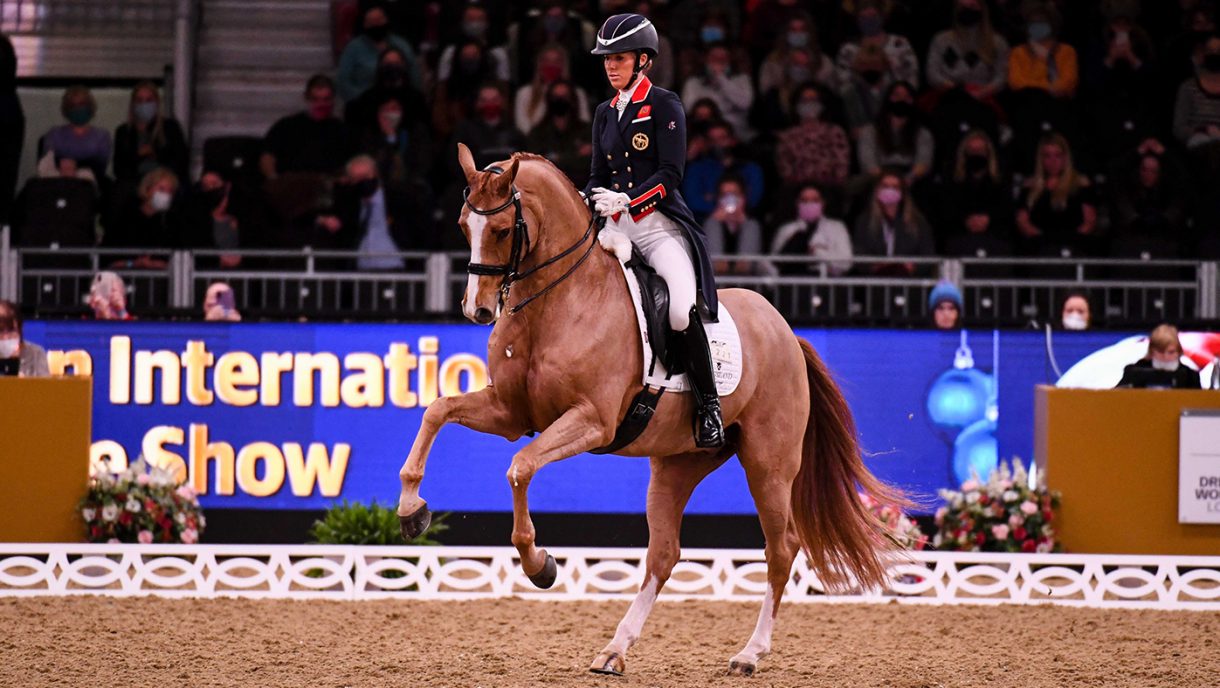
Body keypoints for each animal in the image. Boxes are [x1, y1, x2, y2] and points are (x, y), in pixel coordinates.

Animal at [397, 143, 902, 677]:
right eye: (461, 225)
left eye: (500, 230)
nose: (477, 310)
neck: (558, 302)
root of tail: (785, 330)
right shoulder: (512, 413)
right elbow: (437, 411)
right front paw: (411, 511)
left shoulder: (591, 421)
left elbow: (520, 468)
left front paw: (540, 565)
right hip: (678, 463)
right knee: (664, 554)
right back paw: (614, 650)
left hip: (770, 463)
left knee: (781, 546)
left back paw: (749, 653)